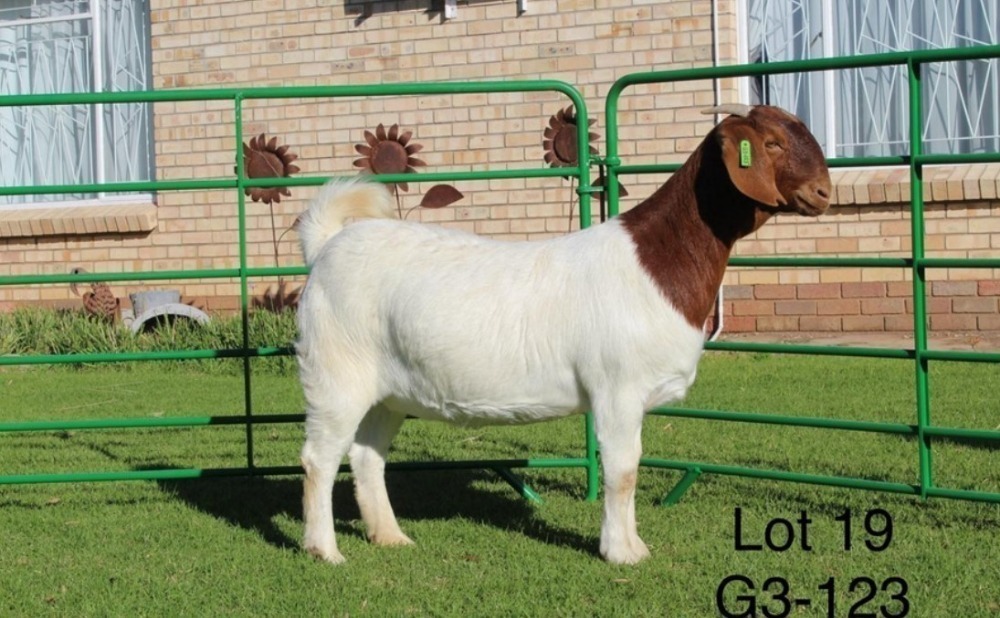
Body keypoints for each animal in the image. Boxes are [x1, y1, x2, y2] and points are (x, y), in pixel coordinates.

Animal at [295, 104, 832, 565]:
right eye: (771, 143)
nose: (825, 192)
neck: (657, 263)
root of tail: (327, 245)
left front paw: (633, 546)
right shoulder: (618, 390)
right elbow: (623, 470)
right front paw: (623, 552)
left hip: (388, 391)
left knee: (366, 456)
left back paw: (390, 536)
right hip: (336, 376)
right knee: (319, 458)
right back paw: (324, 549)